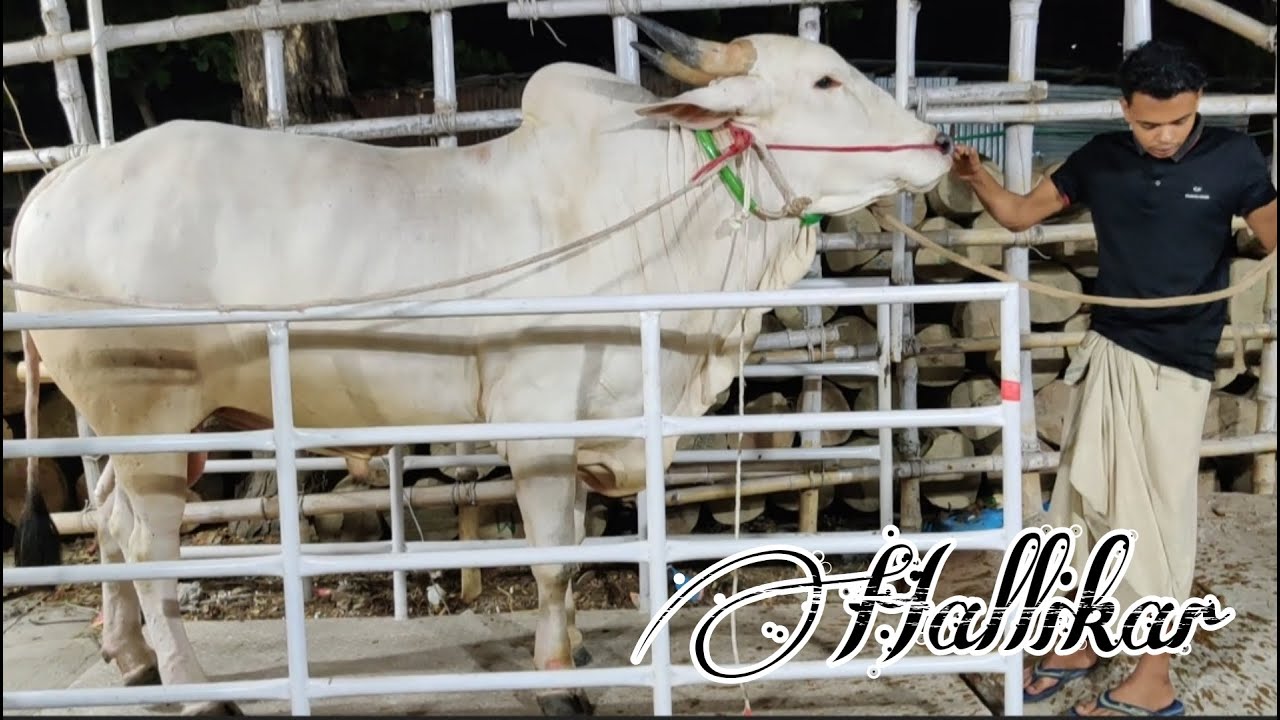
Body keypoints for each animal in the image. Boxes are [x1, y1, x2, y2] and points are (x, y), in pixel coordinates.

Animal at [8, 16, 953, 716]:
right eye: (825, 82)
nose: (939, 142)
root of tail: (59, 185)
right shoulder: (538, 424)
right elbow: (555, 559)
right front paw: (559, 683)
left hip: (148, 428)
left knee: (108, 522)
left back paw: (130, 658)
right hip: (150, 418)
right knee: (143, 546)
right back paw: (195, 689)